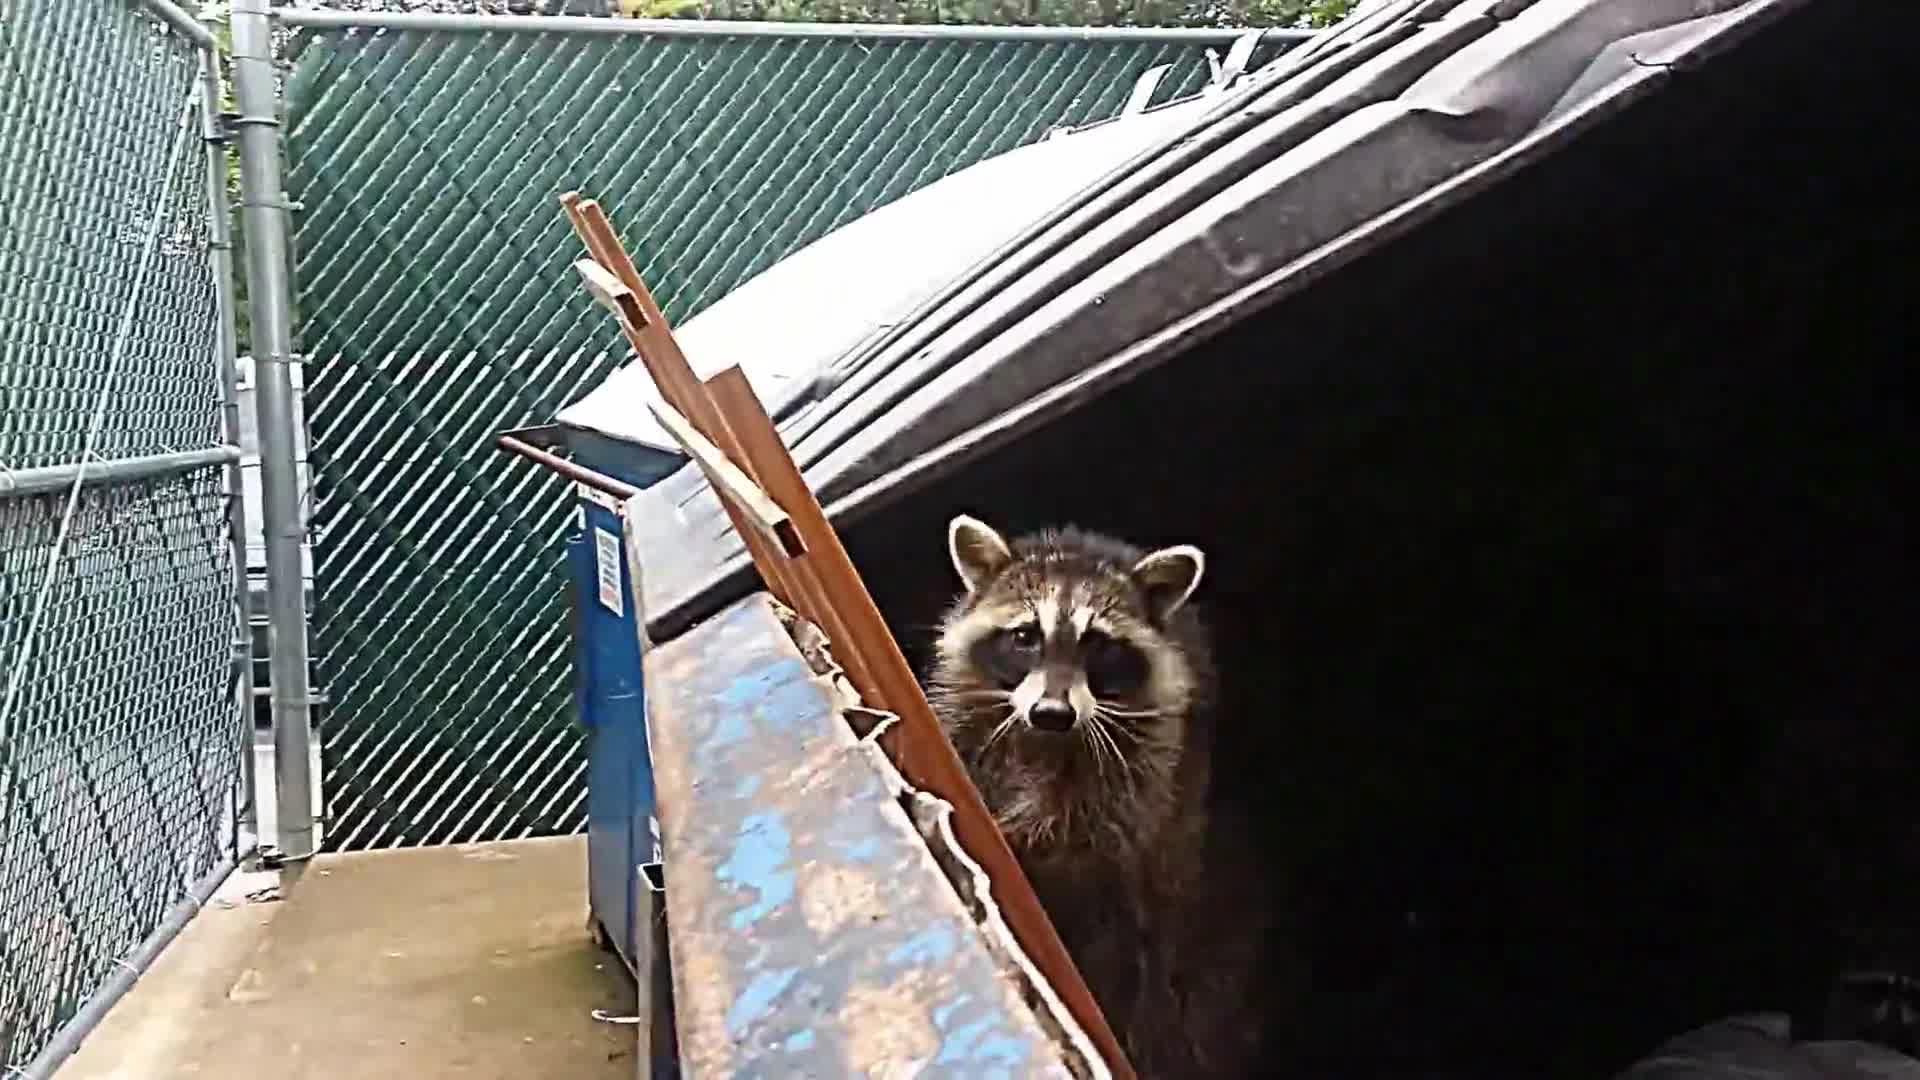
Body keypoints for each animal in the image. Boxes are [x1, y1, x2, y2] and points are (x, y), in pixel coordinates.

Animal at [927, 515, 1269, 1077]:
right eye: (1025, 637)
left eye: (1099, 646)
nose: (1051, 711)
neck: (1048, 741)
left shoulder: (1135, 784)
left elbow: (1123, 902)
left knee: (1163, 886)